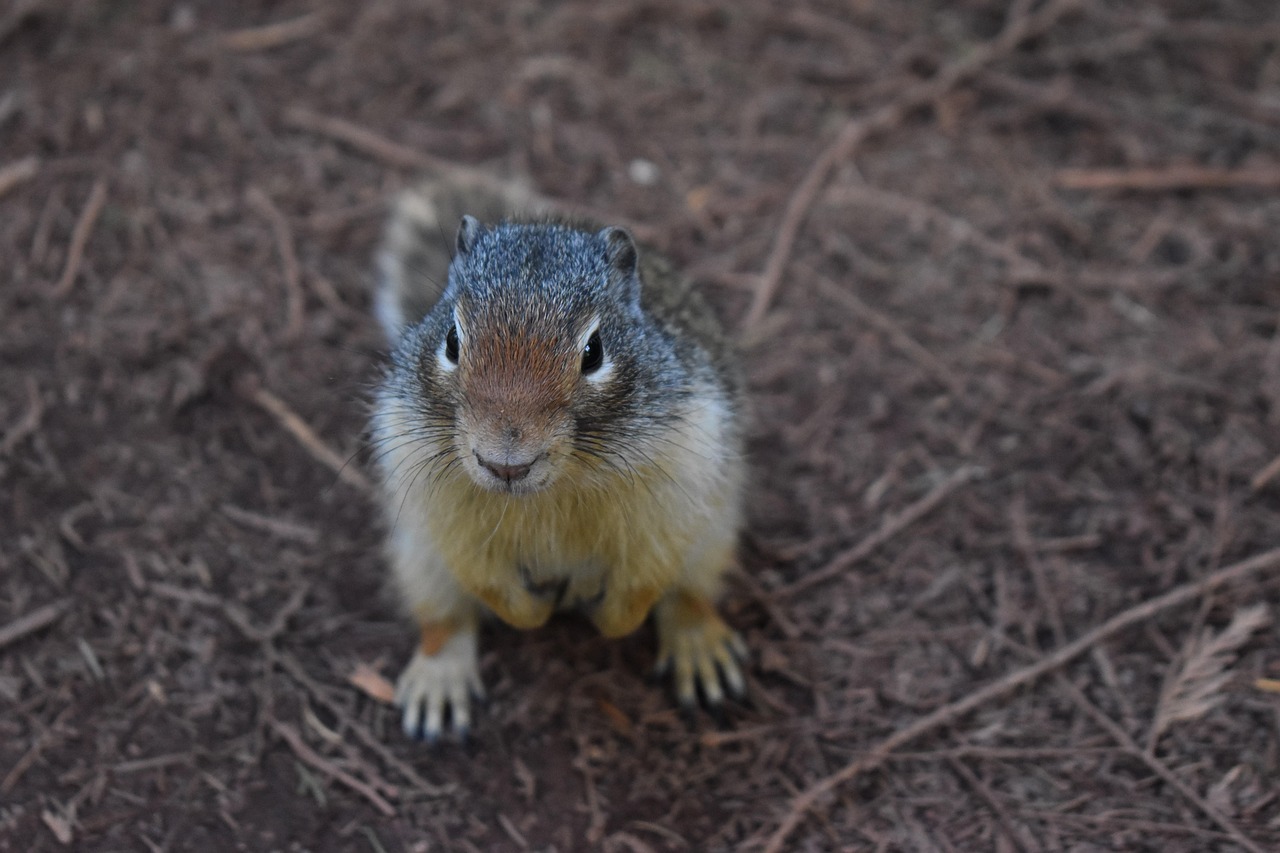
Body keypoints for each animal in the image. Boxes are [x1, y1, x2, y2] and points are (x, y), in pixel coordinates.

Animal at [370, 177, 748, 741]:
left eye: (594, 351)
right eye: (452, 340)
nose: (505, 463)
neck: (550, 491)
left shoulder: (682, 478)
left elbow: (646, 577)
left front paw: (610, 616)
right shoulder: (439, 502)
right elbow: (481, 574)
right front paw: (532, 613)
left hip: (715, 537)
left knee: (690, 595)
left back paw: (698, 645)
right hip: (417, 559)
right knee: (444, 619)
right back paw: (440, 678)